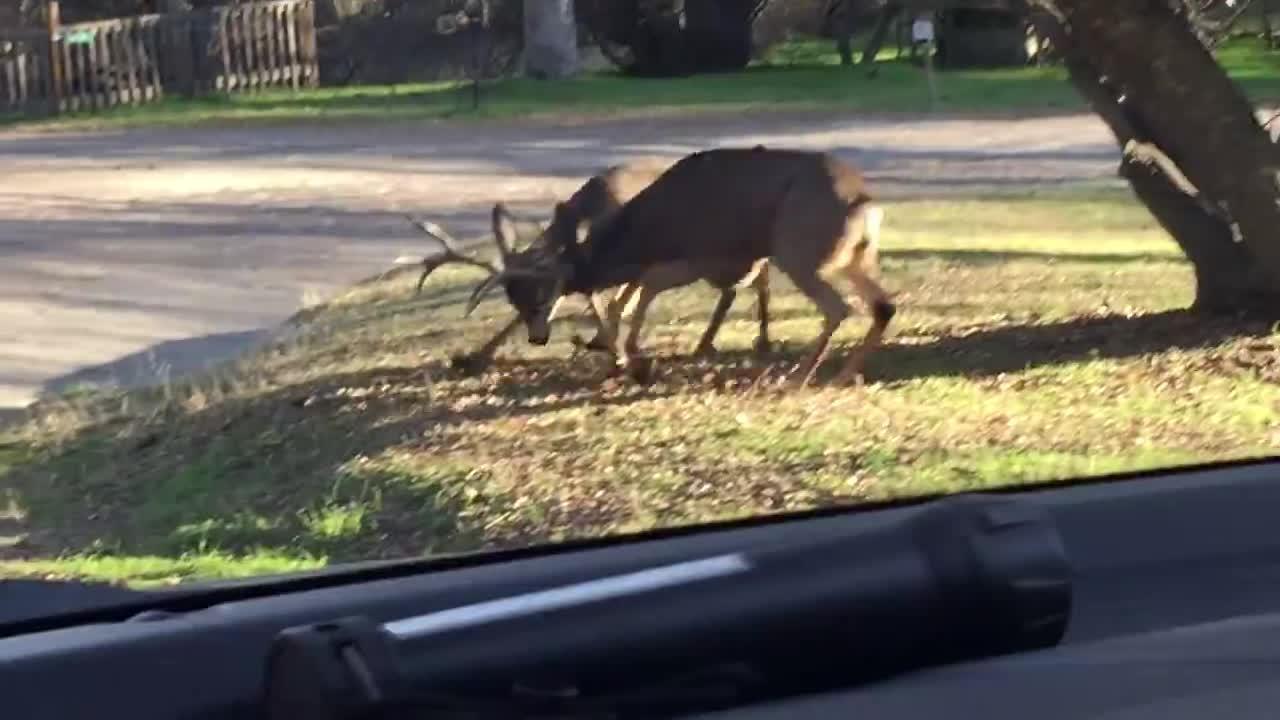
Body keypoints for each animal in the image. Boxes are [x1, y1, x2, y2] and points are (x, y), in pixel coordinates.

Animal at [463, 146, 892, 388]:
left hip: (798, 248)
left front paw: (631, 358)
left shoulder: (701, 256)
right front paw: (619, 357)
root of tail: (865, 204)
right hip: (854, 257)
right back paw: (842, 374)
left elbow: (641, 290)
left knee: (838, 307)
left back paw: (798, 376)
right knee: (883, 306)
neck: (649, 228)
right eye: (515, 299)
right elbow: (631, 296)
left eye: (543, 293)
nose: (538, 338)